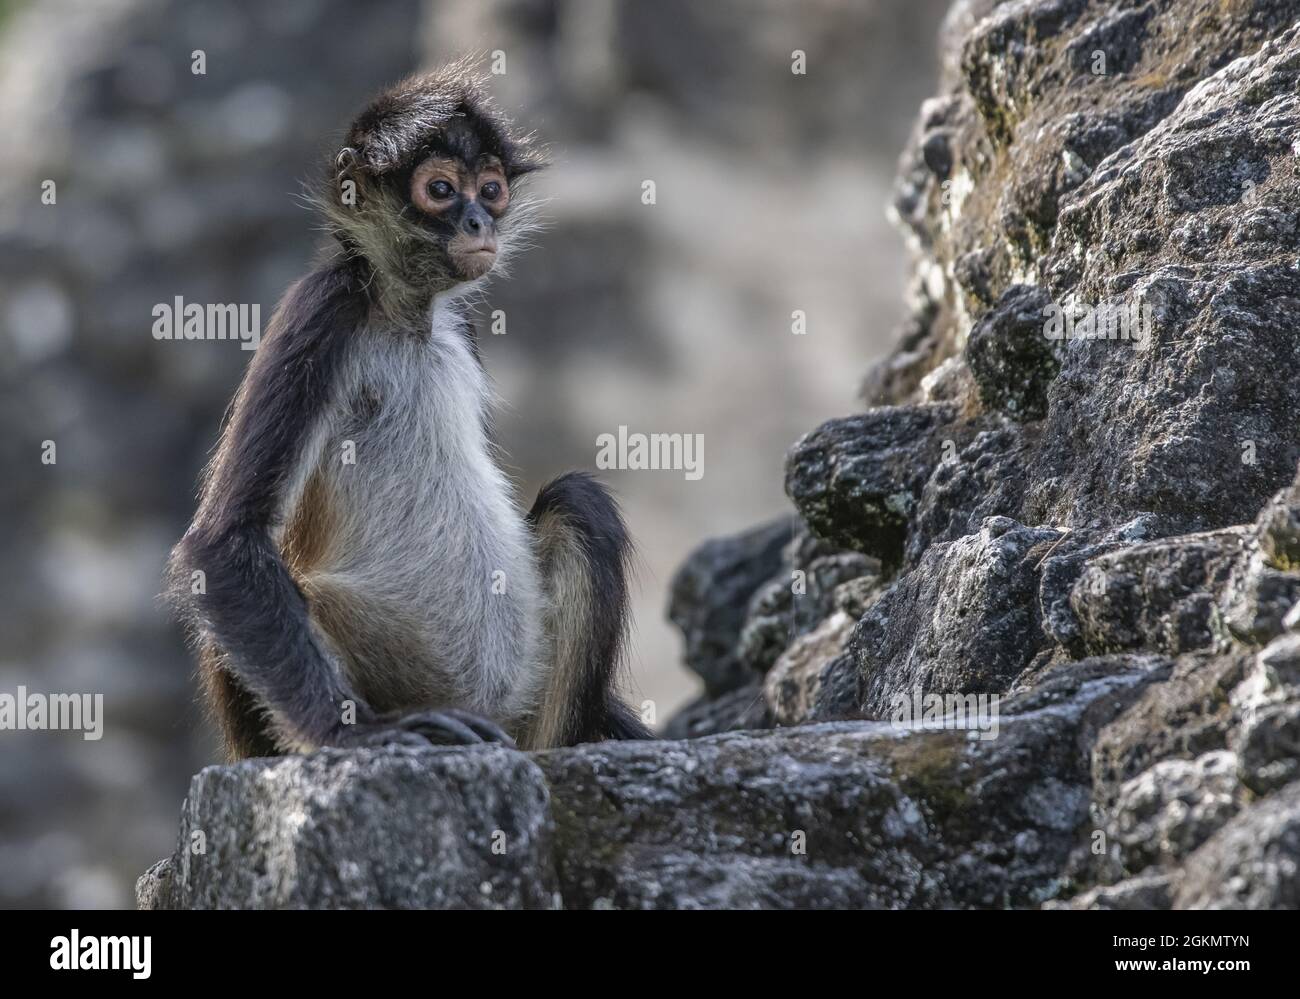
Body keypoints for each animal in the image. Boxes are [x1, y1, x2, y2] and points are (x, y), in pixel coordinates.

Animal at [167, 60, 651, 761]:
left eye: (491, 190)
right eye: (440, 190)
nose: (479, 223)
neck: (408, 316)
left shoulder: (461, 328)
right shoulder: (327, 306)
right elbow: (225, 544)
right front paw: (358, 734)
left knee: (577, 502)